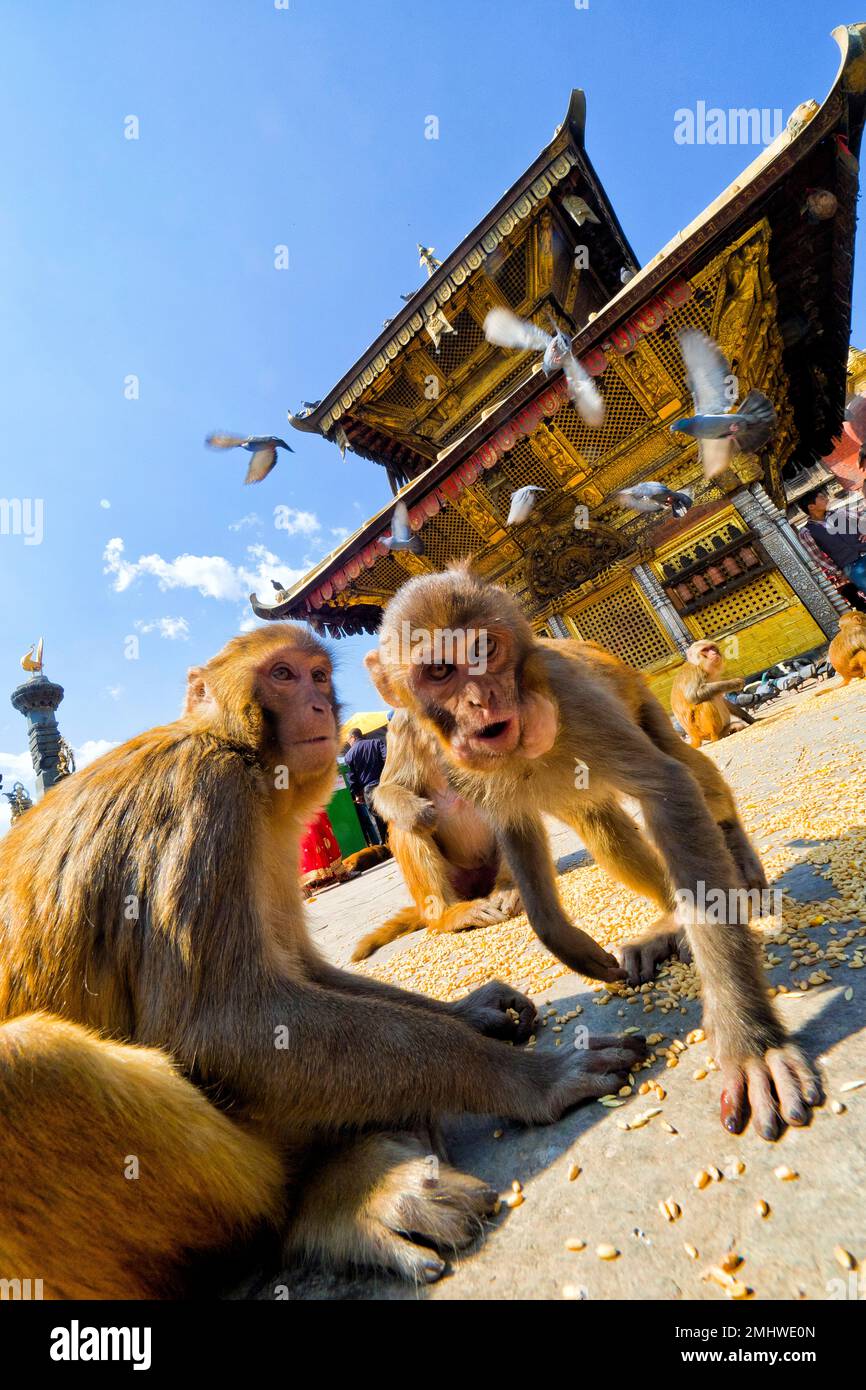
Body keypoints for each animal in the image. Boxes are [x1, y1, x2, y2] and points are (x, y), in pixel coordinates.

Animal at [351, 710, 521, 961]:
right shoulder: (403, 723)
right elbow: (390, 788)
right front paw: (418, 813)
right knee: (406, 826)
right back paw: (448, 914)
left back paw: (509, 887)